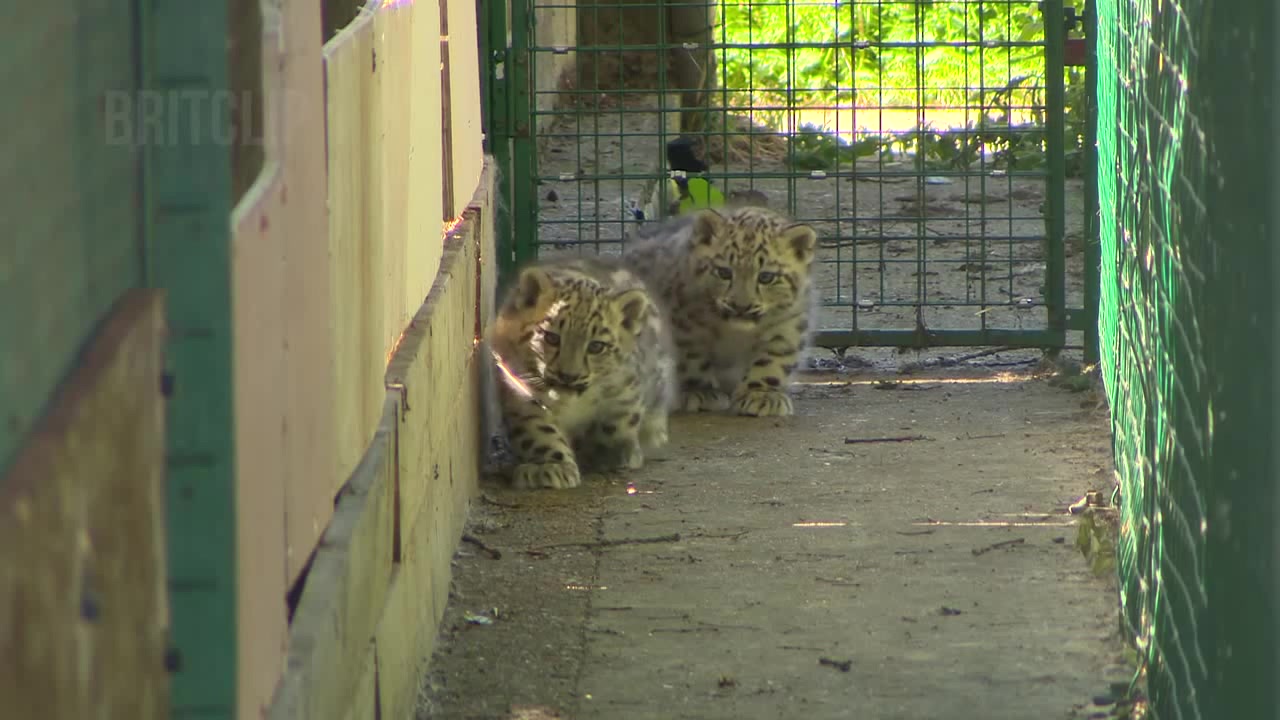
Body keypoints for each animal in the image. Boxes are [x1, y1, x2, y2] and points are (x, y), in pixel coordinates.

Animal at [487, 255, 677, 490]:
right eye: (551, 337)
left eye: (596, 346)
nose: (568, 376)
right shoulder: (520, 389)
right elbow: (538, 429)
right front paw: (550, 467)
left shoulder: (625, 386)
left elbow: (620, 419)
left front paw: (612, 453)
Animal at [623, 205, 818, 418]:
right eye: (724, 272)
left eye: (766, 277)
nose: (741, 306)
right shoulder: (684, 325)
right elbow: (690, 359)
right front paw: (700, 392)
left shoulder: (787, 325)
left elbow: (773, 360)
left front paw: (761, 396)